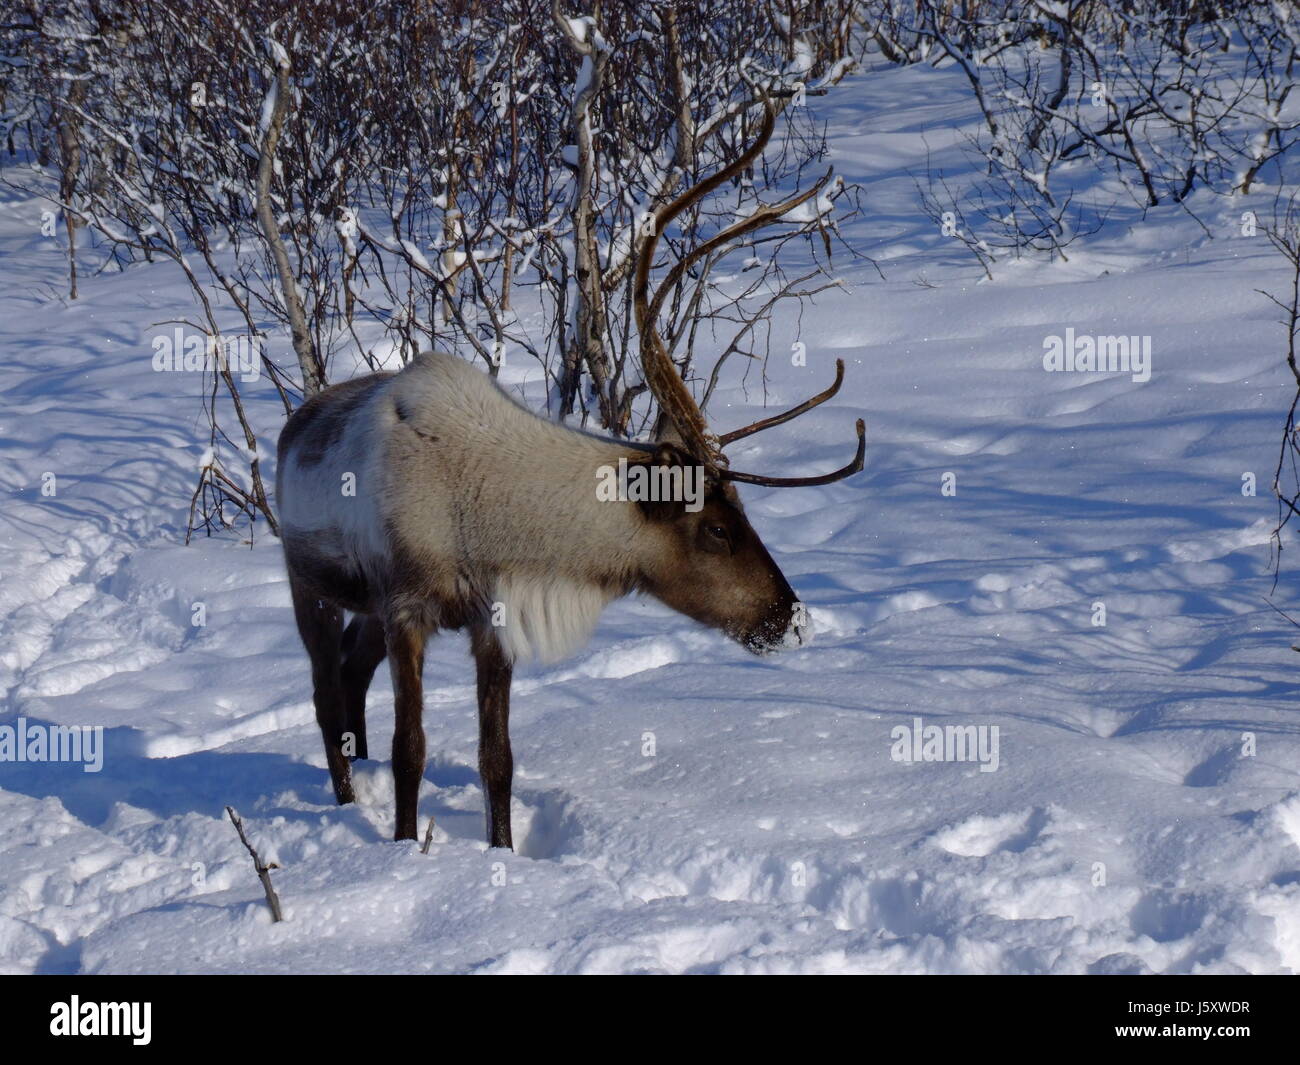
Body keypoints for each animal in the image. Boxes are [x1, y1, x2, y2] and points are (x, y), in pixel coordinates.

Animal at [275, 98, 865, 848]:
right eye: (719, 528)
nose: (790, 618)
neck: (486, 510)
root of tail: (291, 427)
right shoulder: (407, 609)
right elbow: (412, 750)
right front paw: (406, 848)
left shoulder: (489, 621)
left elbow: (497, 758)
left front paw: (500, 852)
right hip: (311, 589)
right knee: (326, 694)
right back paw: (347, 803)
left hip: (365, 610)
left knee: (352, 676)